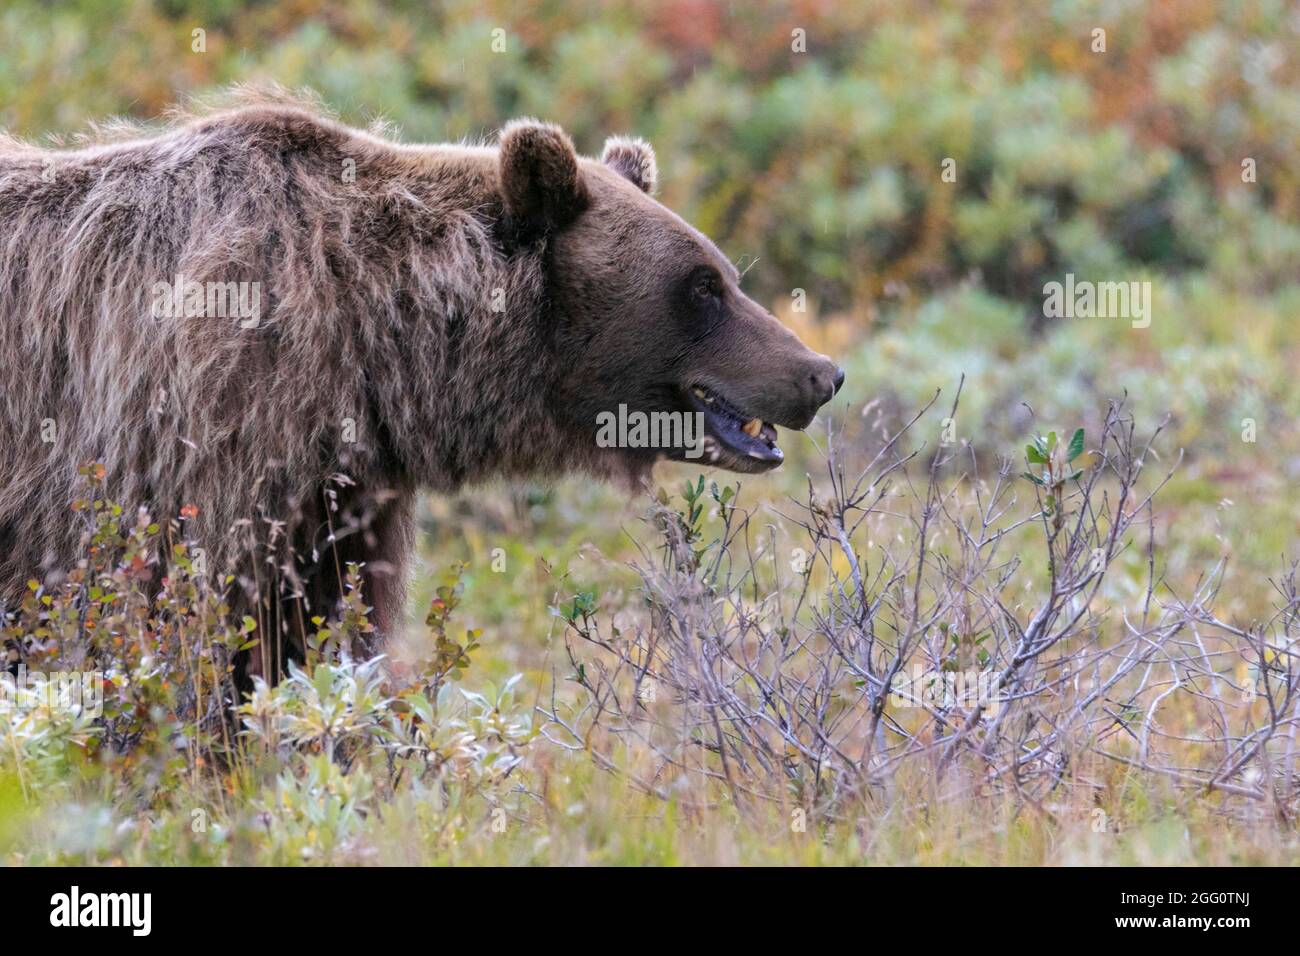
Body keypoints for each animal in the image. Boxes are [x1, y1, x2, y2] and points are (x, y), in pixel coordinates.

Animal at [0, 91, 843, 689]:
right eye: (702, 286)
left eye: (725, 273)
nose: (821, 373)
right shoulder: (181, 448)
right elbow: (179, 630)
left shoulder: (335, 497)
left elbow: (311, 629)